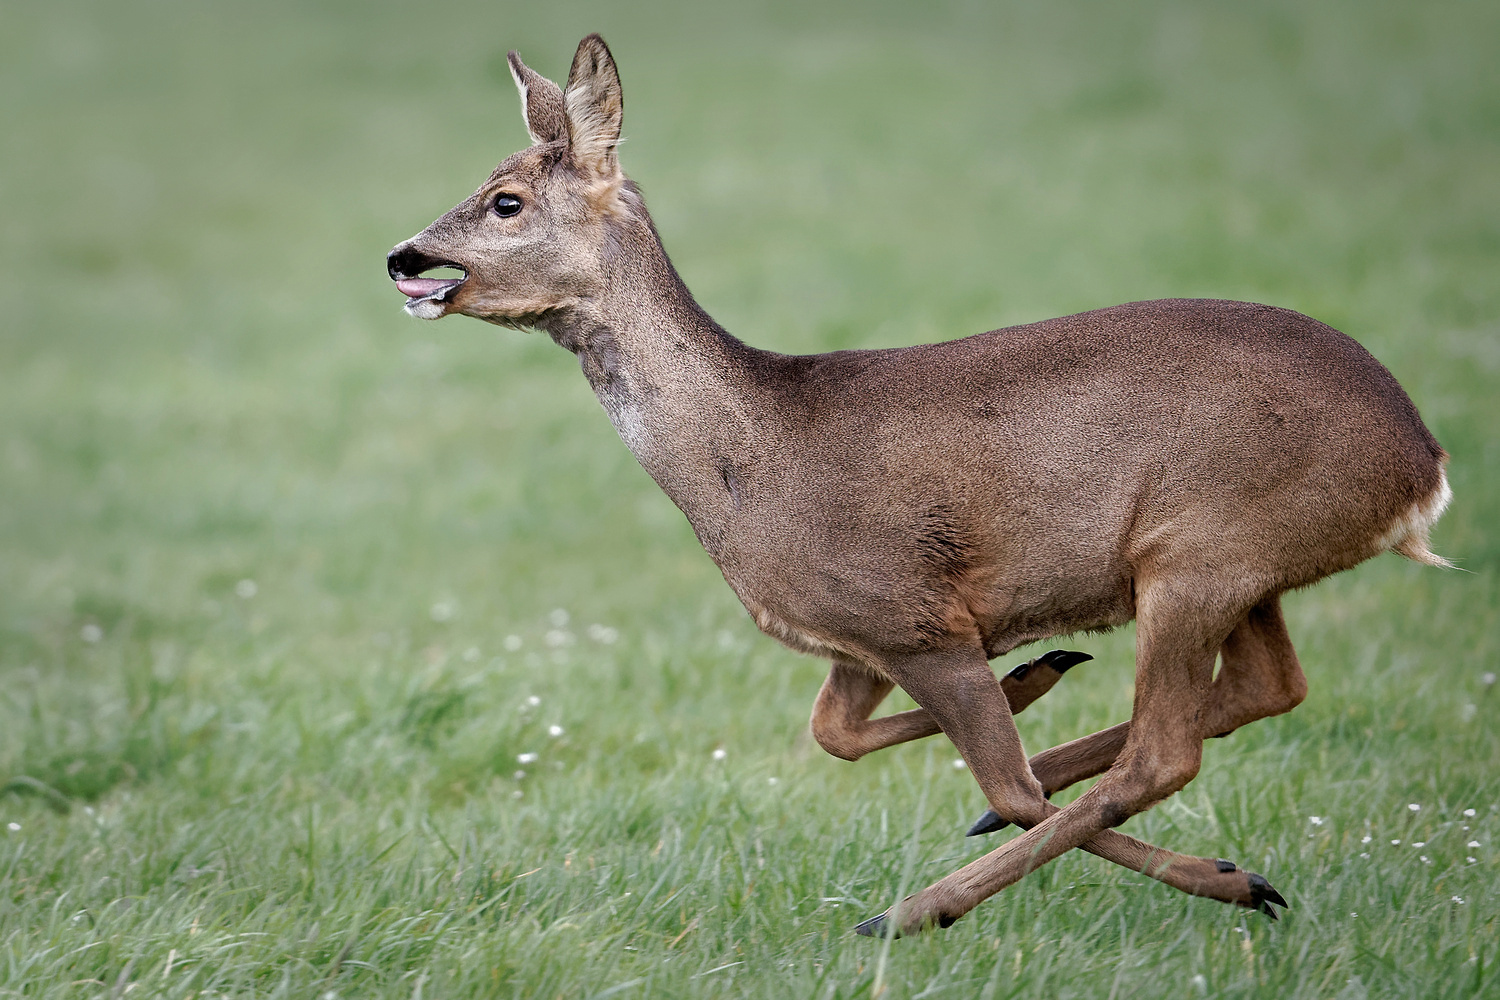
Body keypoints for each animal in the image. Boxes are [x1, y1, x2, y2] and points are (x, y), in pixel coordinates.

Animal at [386, 34, 1453, 937]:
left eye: (506, 200)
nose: (403, 257)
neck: (747, 463)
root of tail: (1421, 469)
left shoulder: (914, 618)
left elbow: (1005, 786)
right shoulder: (859, 637)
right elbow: (834, 735)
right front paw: (1033, 675)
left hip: (1198, 550)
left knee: (1159, 754)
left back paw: (928, 908)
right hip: (1242, 565)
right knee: (1268, 687)